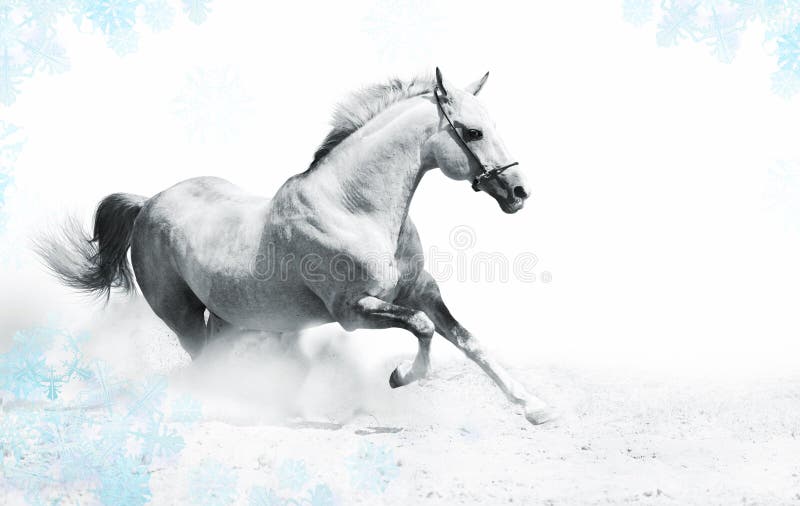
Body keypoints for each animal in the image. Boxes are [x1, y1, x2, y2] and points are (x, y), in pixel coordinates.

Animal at [36, 68, 553, 425]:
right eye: (472, 131)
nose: (519, 192)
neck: (354, 208)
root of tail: (148, 203)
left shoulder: (420, 292)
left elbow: (469, 341)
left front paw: (535, 406)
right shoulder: (354, 311)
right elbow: (424, 330)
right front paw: (399, 377)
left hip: (228, 318)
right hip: (182, 317)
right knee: (203, 364)